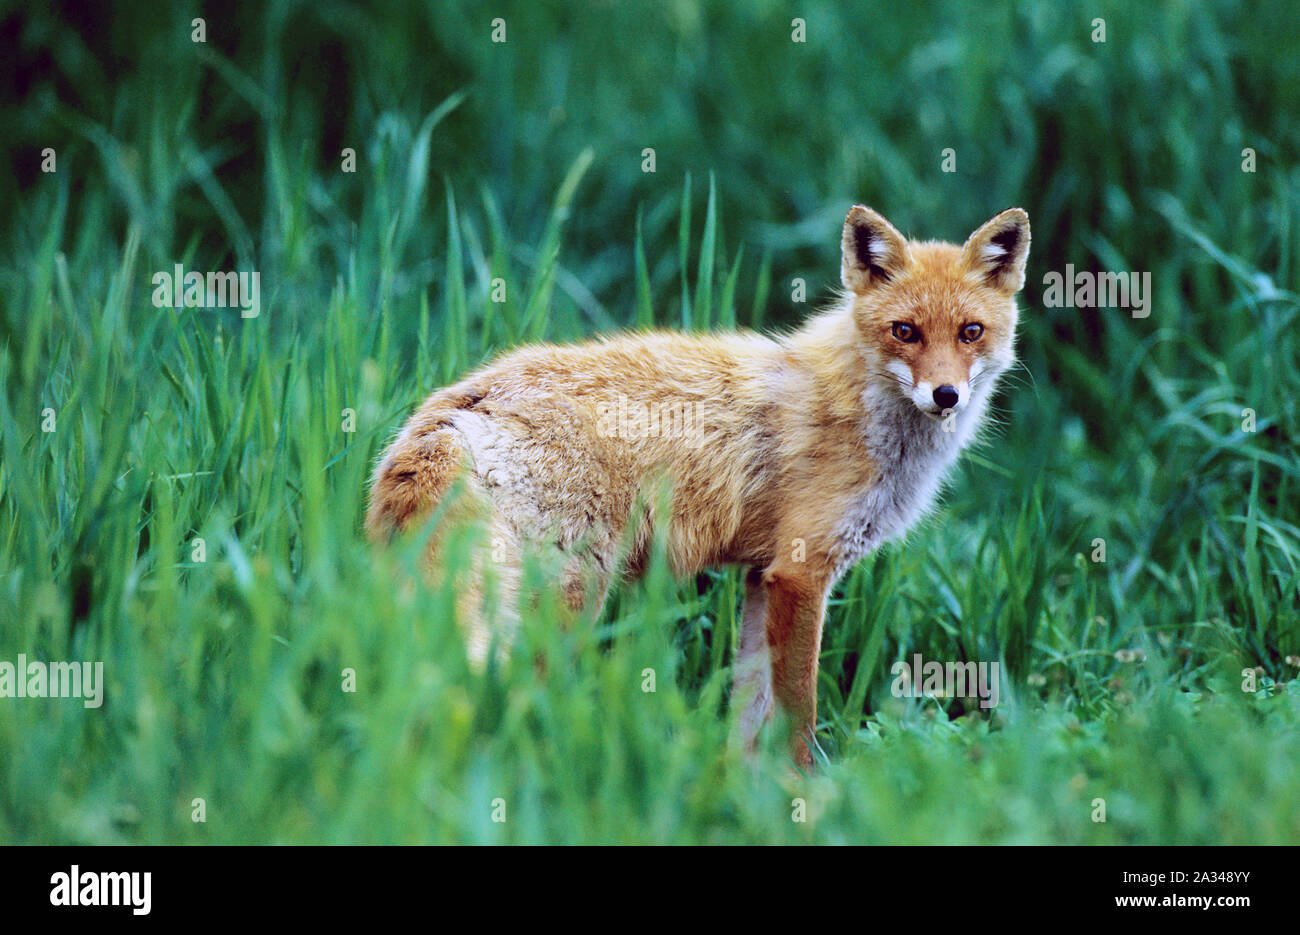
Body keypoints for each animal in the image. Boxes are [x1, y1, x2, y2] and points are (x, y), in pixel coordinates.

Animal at [366, 204, 1030, 766]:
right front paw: (807, 795)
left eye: (970, 332)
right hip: (569, 597)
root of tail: (459, 406)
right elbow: (798, 715)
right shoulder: (801, 573)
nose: (945, 395)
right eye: (905, 331)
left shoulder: (764, 577)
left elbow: (750, 710)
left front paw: (742, 792)